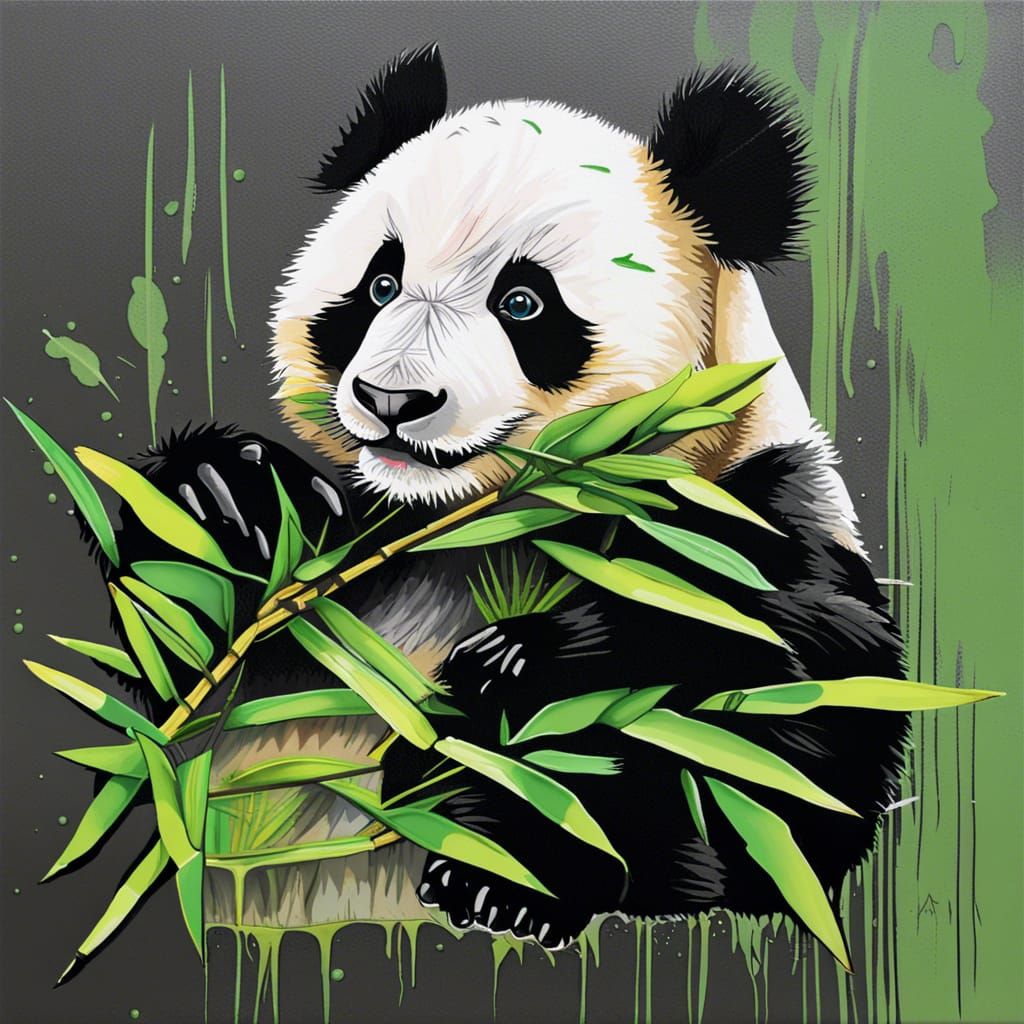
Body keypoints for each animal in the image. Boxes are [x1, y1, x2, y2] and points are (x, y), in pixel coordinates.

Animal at [99, 45, 907, 948]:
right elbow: (187, 690)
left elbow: (787, 724)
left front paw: (508, 693)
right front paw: (218, 496)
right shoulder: (349, 565)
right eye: (380, 285)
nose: (391, 399)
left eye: (523, 301)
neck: (488, 515)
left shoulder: (759, 510)